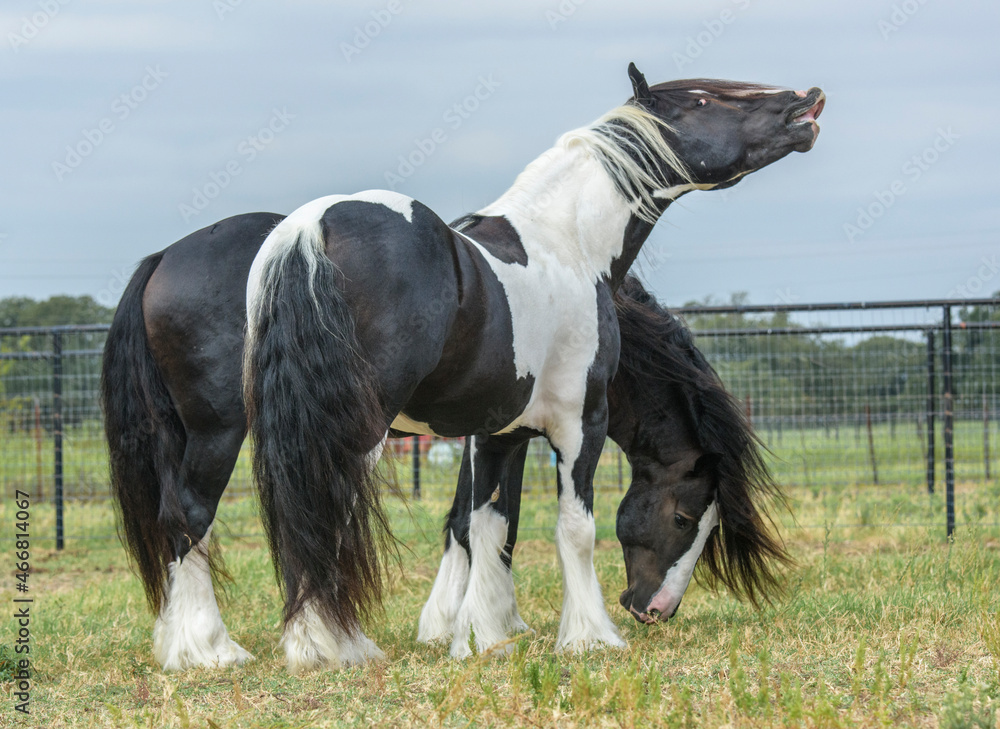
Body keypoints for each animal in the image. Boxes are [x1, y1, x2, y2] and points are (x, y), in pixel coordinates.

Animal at [418, 275, 789, 658]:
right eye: (681, 520)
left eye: (713, 528)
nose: (660, 610)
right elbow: (472, 520)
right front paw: (457, 626)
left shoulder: (513, 433)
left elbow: (501, 520)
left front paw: (490, 622)